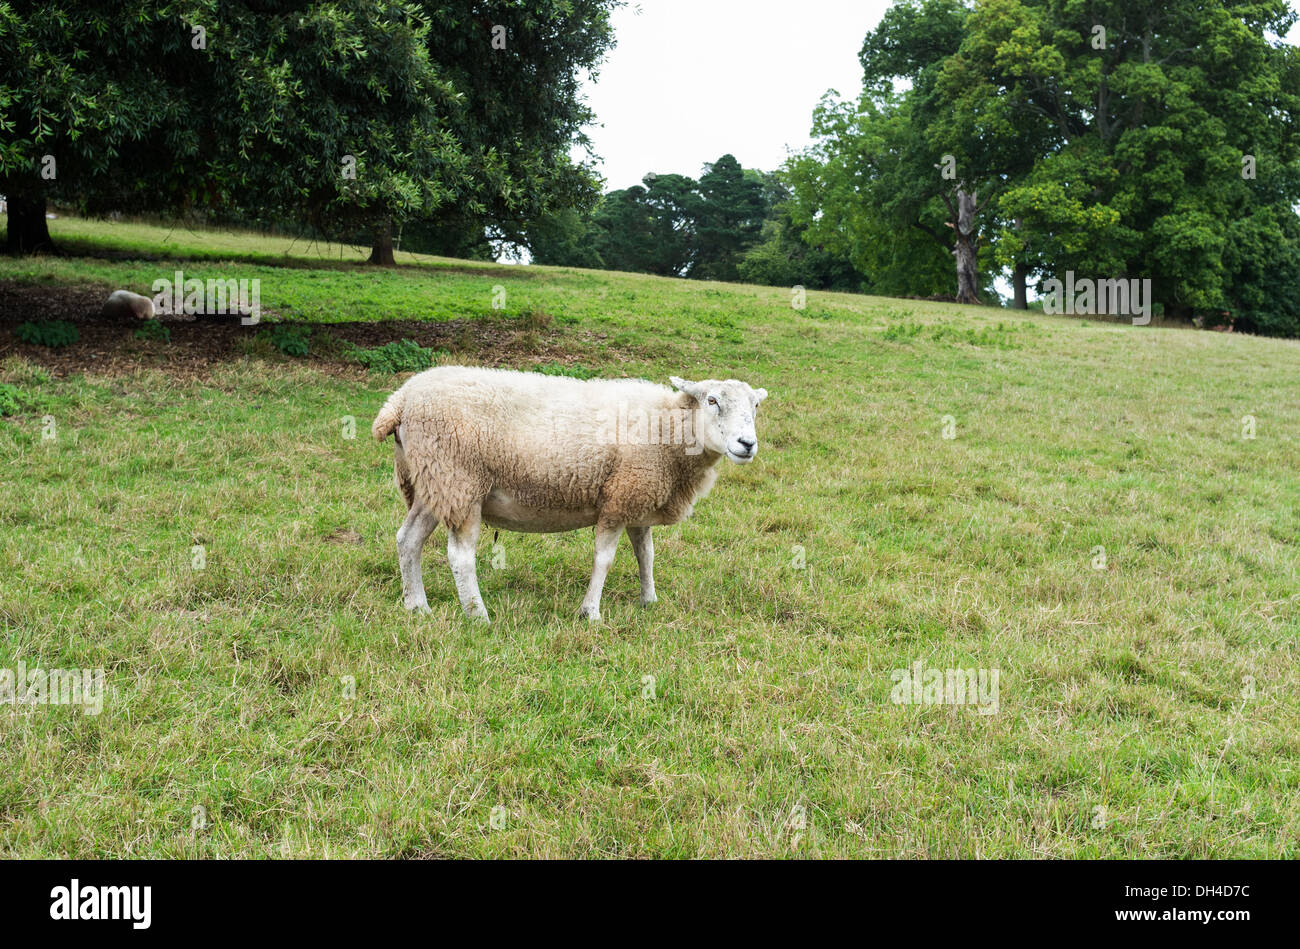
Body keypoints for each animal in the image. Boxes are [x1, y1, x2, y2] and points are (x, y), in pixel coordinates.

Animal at [371, 366, 768, 622]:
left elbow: (647, 556)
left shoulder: (637, 498)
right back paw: (477, 614)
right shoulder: (617, 500)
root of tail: (401, 399)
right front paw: (590, 612)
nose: (747, 444)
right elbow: (604, 560)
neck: (667, 429)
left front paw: (649, 601)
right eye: (712, 400)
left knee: (408, 539)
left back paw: (417, 606)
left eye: (755, 406)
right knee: (460, 556)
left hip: (432, 482)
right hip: (460, 481)